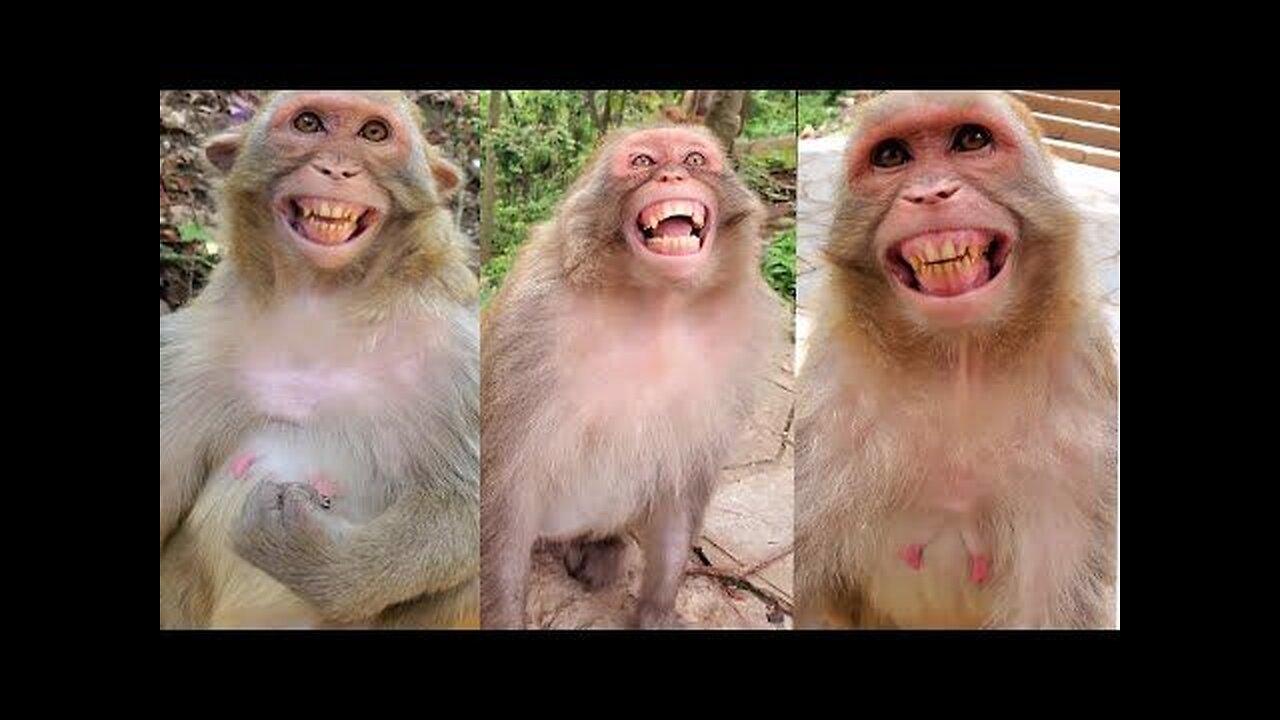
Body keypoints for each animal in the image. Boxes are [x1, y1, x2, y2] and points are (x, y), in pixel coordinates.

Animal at [159, 91, 480, 629]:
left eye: (373, 133)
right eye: (309, 124)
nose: (337, 168)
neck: (323, 309)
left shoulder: (458, 353)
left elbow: (473, 502)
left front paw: (314, 558)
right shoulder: (192, 350)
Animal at [480, 125, 782, 629]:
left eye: (695, 158)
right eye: (642, 161)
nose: (673, 174)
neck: (658, 302)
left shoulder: (741, 333)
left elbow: (685, 482)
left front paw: (657, 610)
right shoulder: (528, 324)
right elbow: (505, 486)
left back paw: (600, 547)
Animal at [794, 91, 1118, 629]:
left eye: (971, 139)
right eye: (891, 156)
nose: (931, 193)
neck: (960, 360)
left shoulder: (1084, 419)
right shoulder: (828, 406)